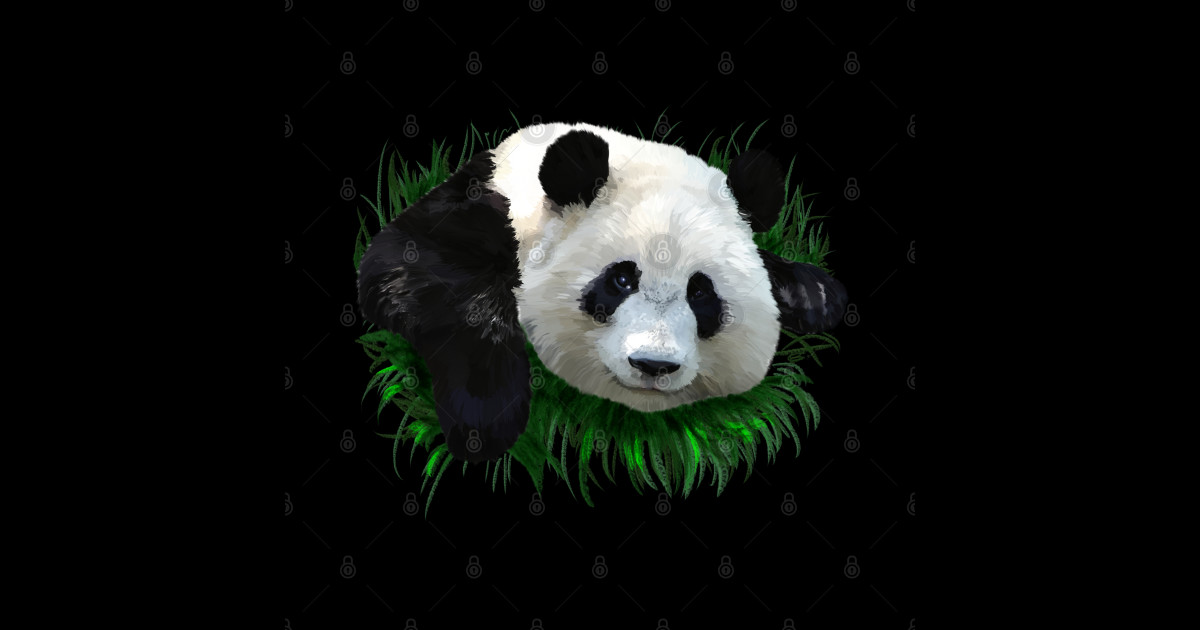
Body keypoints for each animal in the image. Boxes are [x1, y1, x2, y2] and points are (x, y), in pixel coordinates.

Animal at [358, 122, 847, 463]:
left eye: (701, 293)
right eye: (622, 280)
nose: (653, 364)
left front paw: (816, 294)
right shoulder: (482, 204)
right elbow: (406, 267)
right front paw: (484, 415)